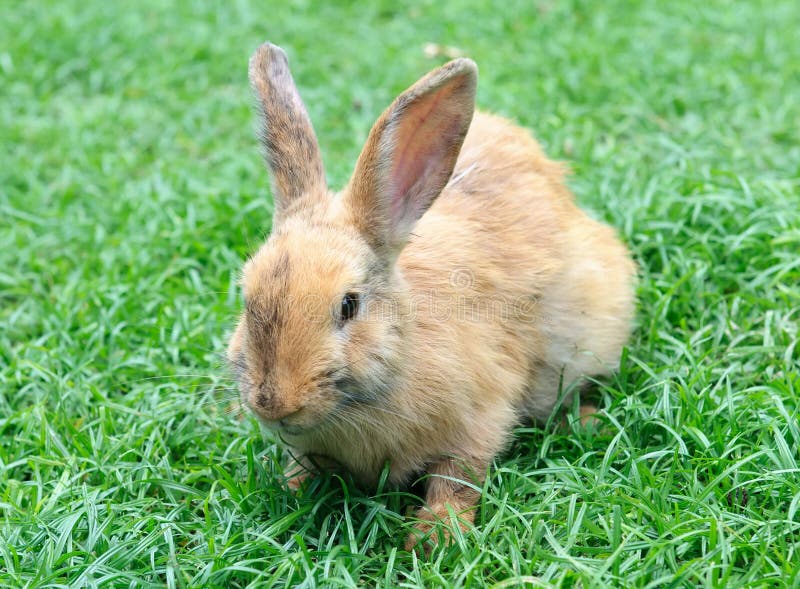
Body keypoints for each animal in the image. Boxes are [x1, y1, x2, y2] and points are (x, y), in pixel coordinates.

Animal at [227, 42, 637, 552]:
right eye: (247, 297)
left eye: (349, 305)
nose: (273, 404)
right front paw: (292, 489)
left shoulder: (479, 418)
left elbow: (457, 479)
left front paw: (433, 538)